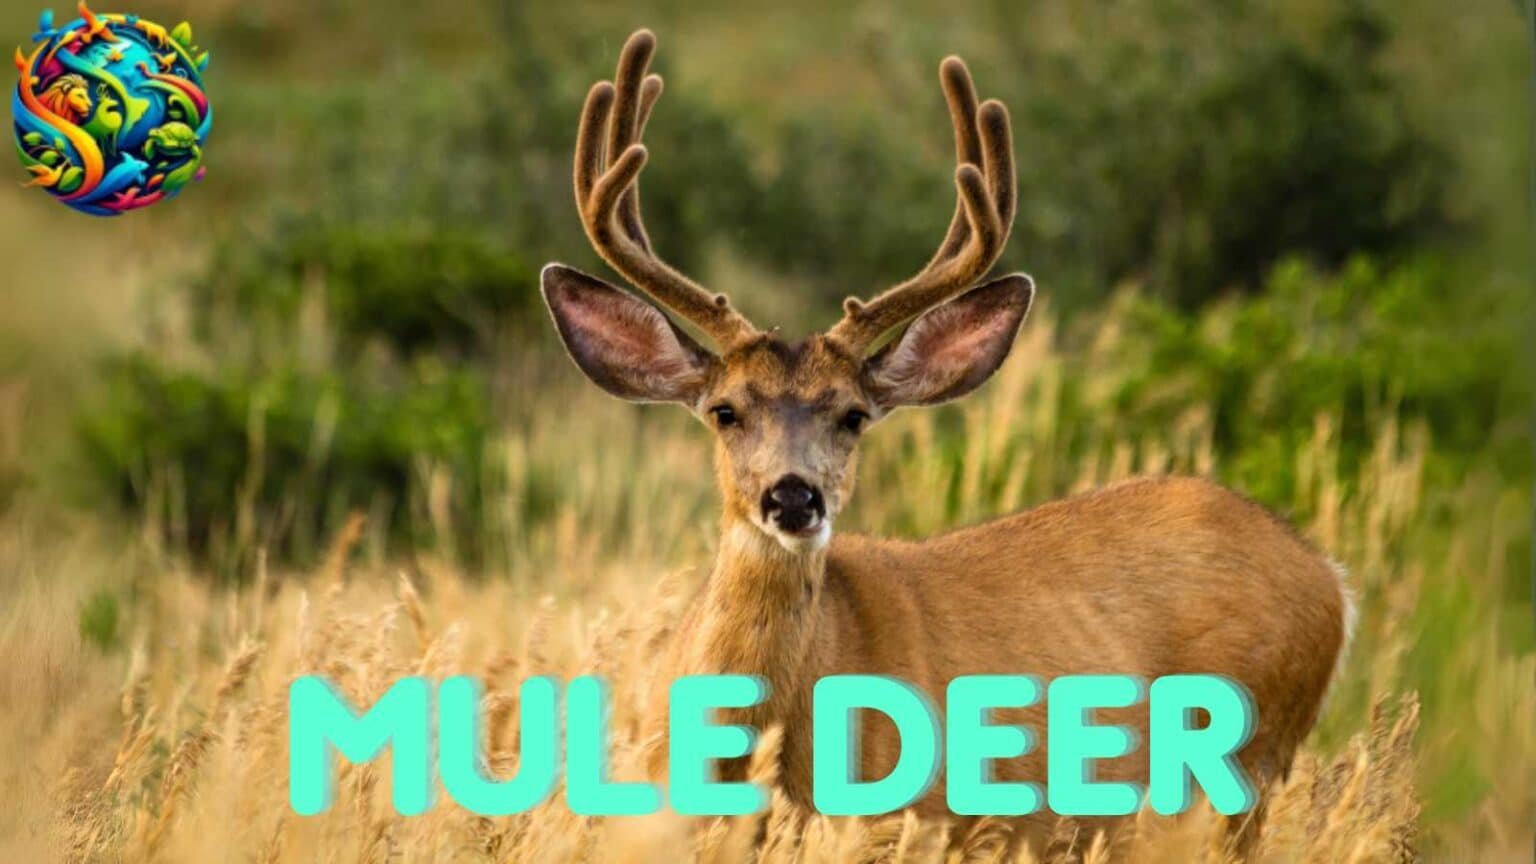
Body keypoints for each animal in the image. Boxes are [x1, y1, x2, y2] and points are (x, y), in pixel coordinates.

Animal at [539, 29, 1353, 855]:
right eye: (725, 410)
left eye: (852, 415)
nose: (793, 498)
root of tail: (1329, 578)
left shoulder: (909, 820)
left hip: (1243, 764)